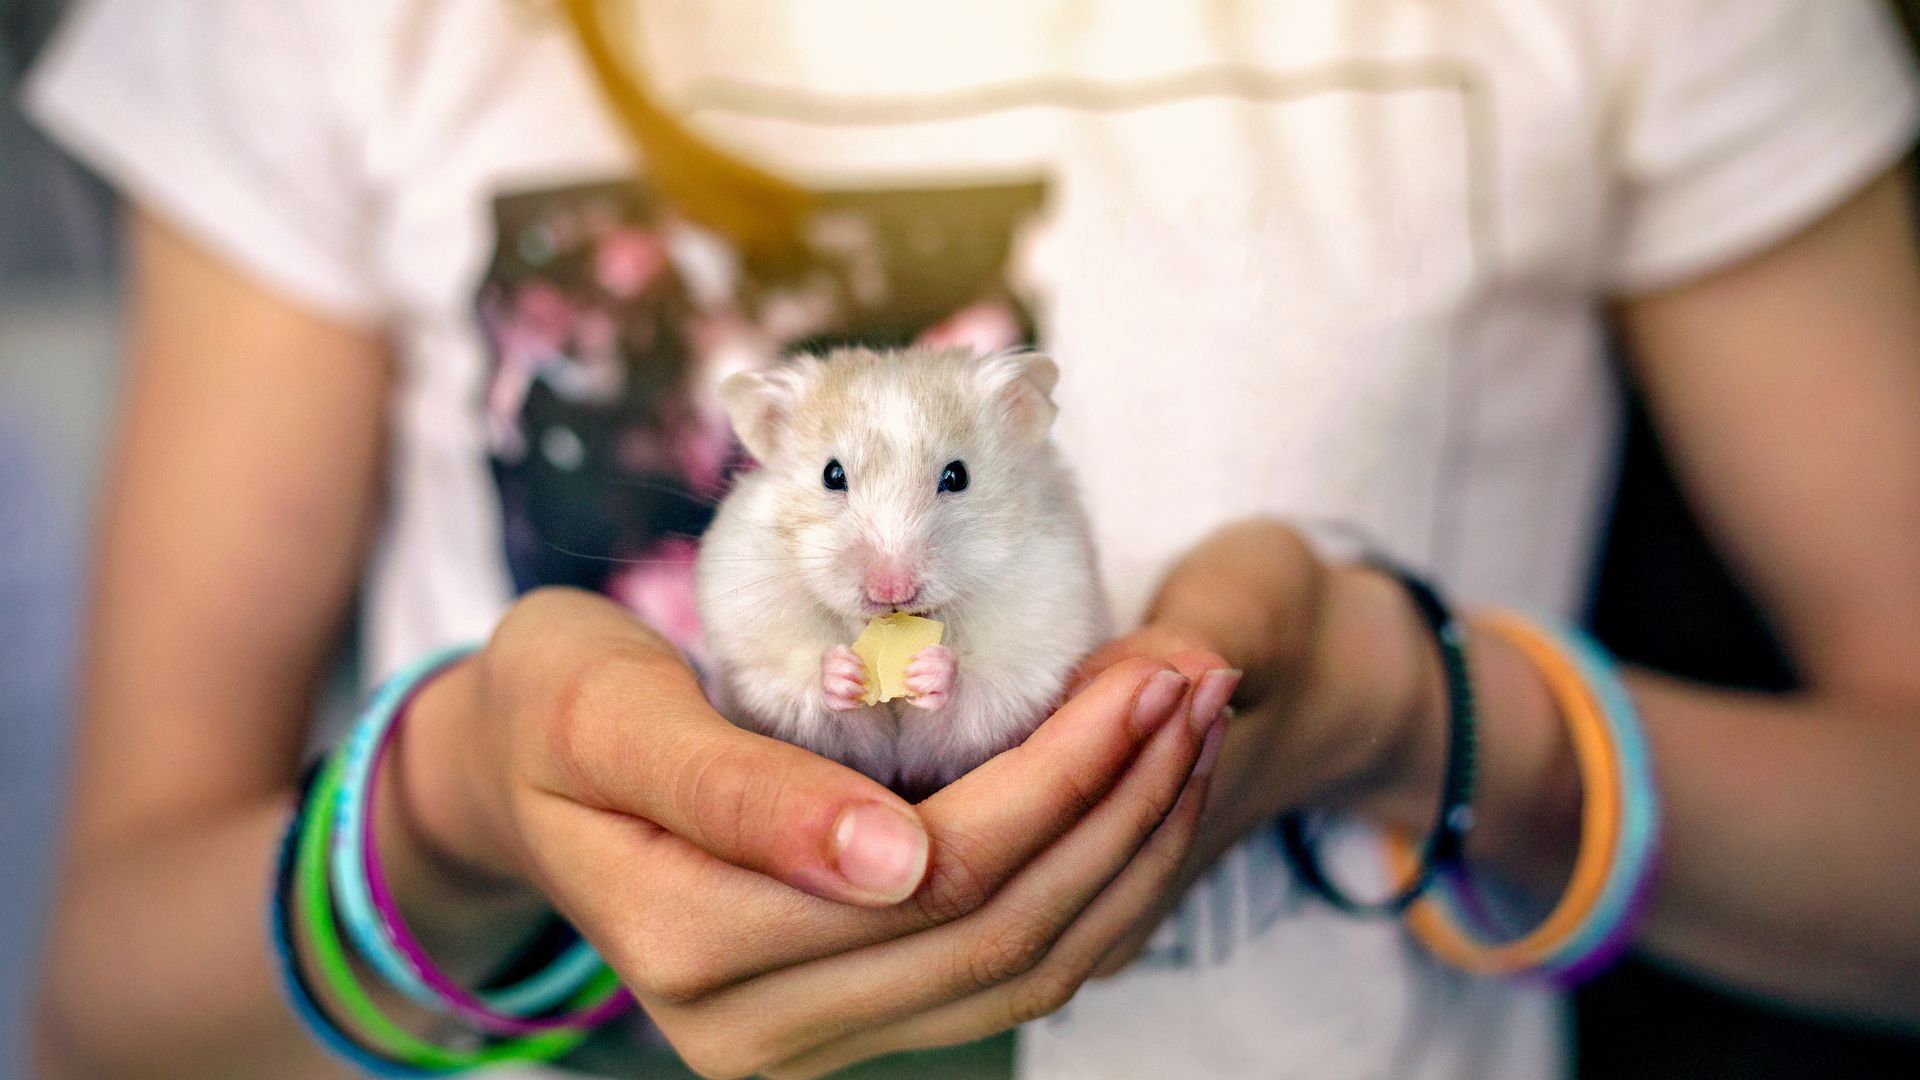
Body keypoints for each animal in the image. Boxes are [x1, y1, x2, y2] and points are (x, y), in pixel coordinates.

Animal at [694, 346, 1111, 795]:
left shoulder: (1034, 647)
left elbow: (976, 692)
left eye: (957, 476)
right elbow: (803, 688)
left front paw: (931, 670)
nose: (891, 590)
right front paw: (842, 672)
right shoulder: (758, 652)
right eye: (831, 474)